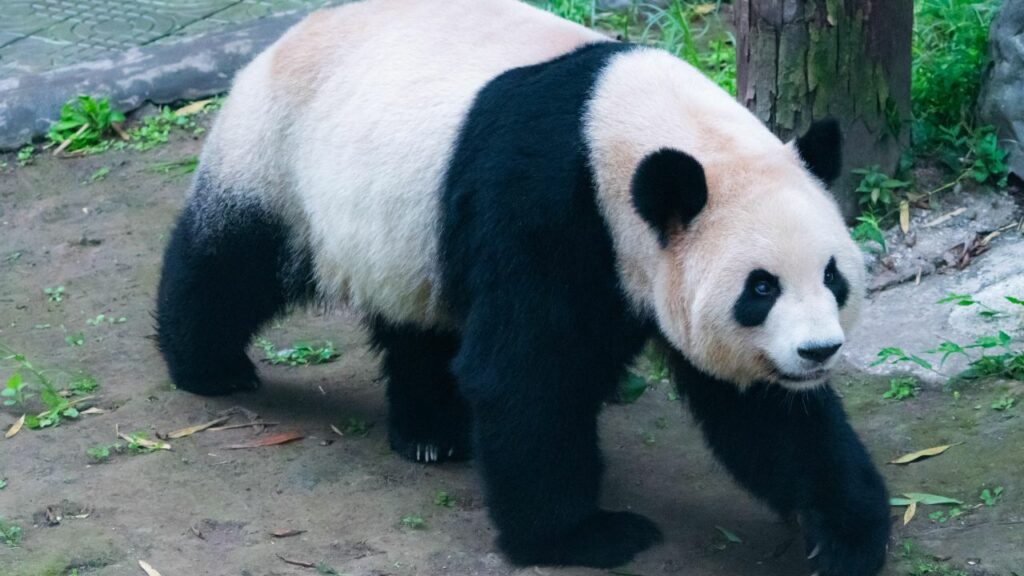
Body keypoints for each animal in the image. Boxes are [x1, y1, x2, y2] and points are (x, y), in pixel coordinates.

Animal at [155, 0, 891, 573]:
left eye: (832, 276)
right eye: (760, 289)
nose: (818, 351)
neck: (627, 127)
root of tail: (285, 36)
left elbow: (764, 414)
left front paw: (846, 533)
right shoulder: (546, 199)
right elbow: (529, 369)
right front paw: (582, 536)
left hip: (404, 227)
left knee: (419, 319)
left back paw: (430, 432)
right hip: (280, 156)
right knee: (230, 262)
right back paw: (208, 366)